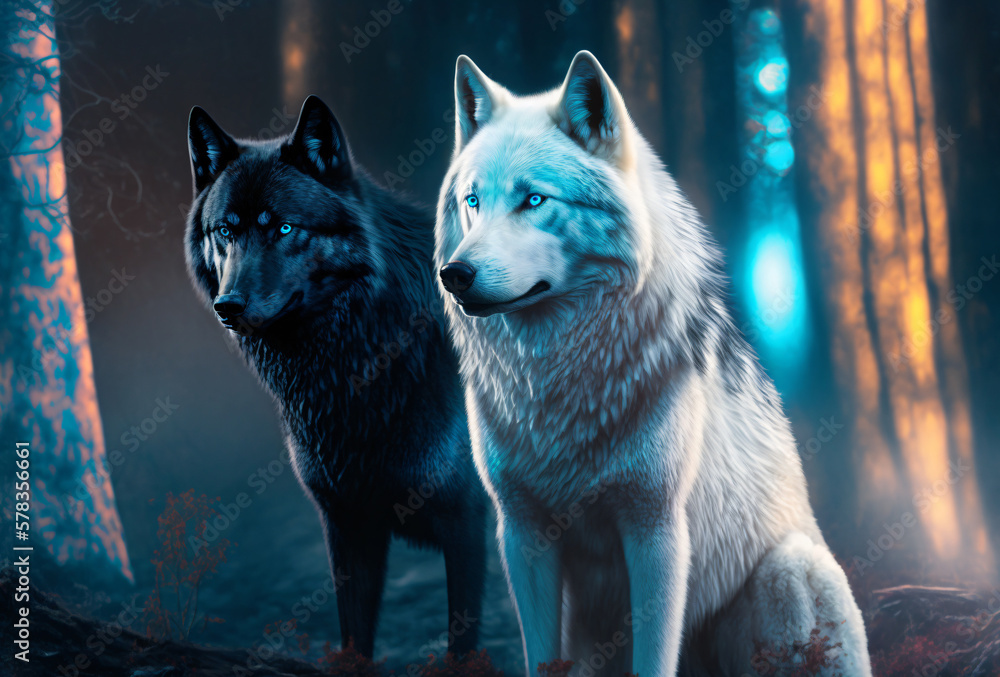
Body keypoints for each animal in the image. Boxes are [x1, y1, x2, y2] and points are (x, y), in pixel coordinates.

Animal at [185, 96, 486, 658]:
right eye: (226, 230)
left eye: (283, 228)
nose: (227, 306)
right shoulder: (347, 523)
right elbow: (355, 638)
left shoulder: (467, 522)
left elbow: (463, 644)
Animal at [435, 52, 871, 676]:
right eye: (473, 200)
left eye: (534, 200)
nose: (455, 274)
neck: (558, 382)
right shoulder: (522, 532)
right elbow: (540, 654)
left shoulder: (656, 529)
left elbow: (654, 655)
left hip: (792, 568)